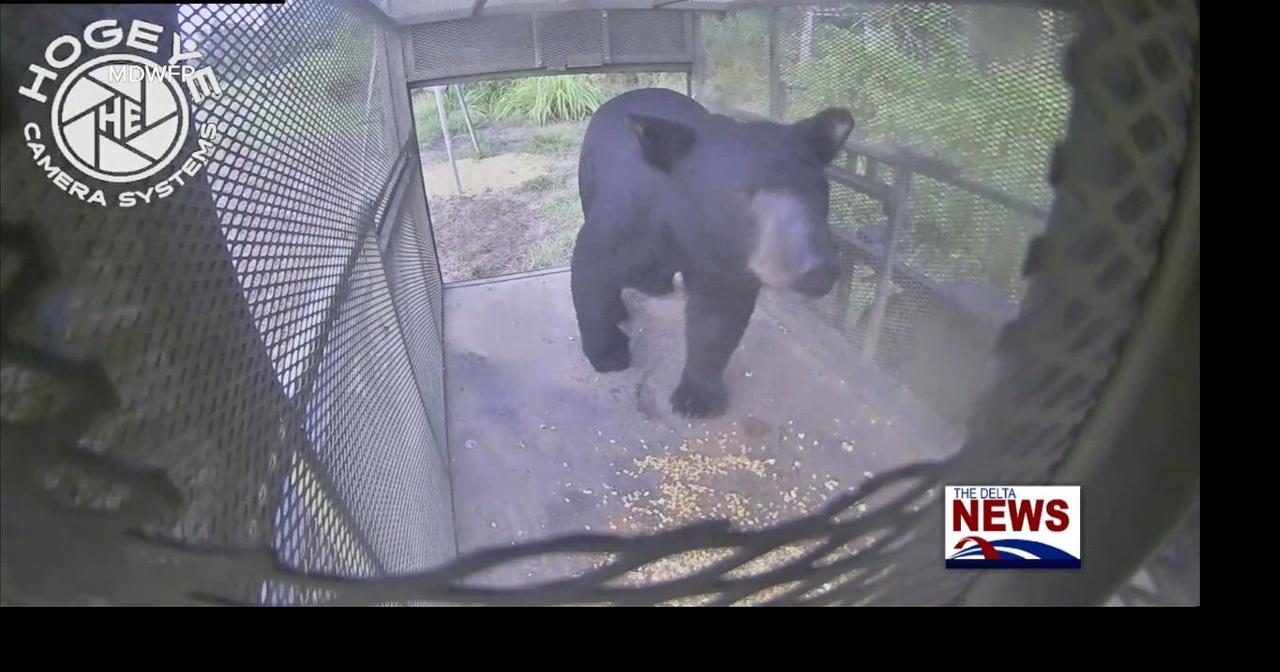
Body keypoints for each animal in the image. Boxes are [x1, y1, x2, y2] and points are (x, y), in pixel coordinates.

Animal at [570, 88, 855, 418]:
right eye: (743, 192)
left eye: (821, 190)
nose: (819, 268)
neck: (687, 232)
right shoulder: (629, 224)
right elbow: (591, 272)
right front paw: (608, 352)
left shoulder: (725, 262)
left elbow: (717, 319)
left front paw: (696, 396)